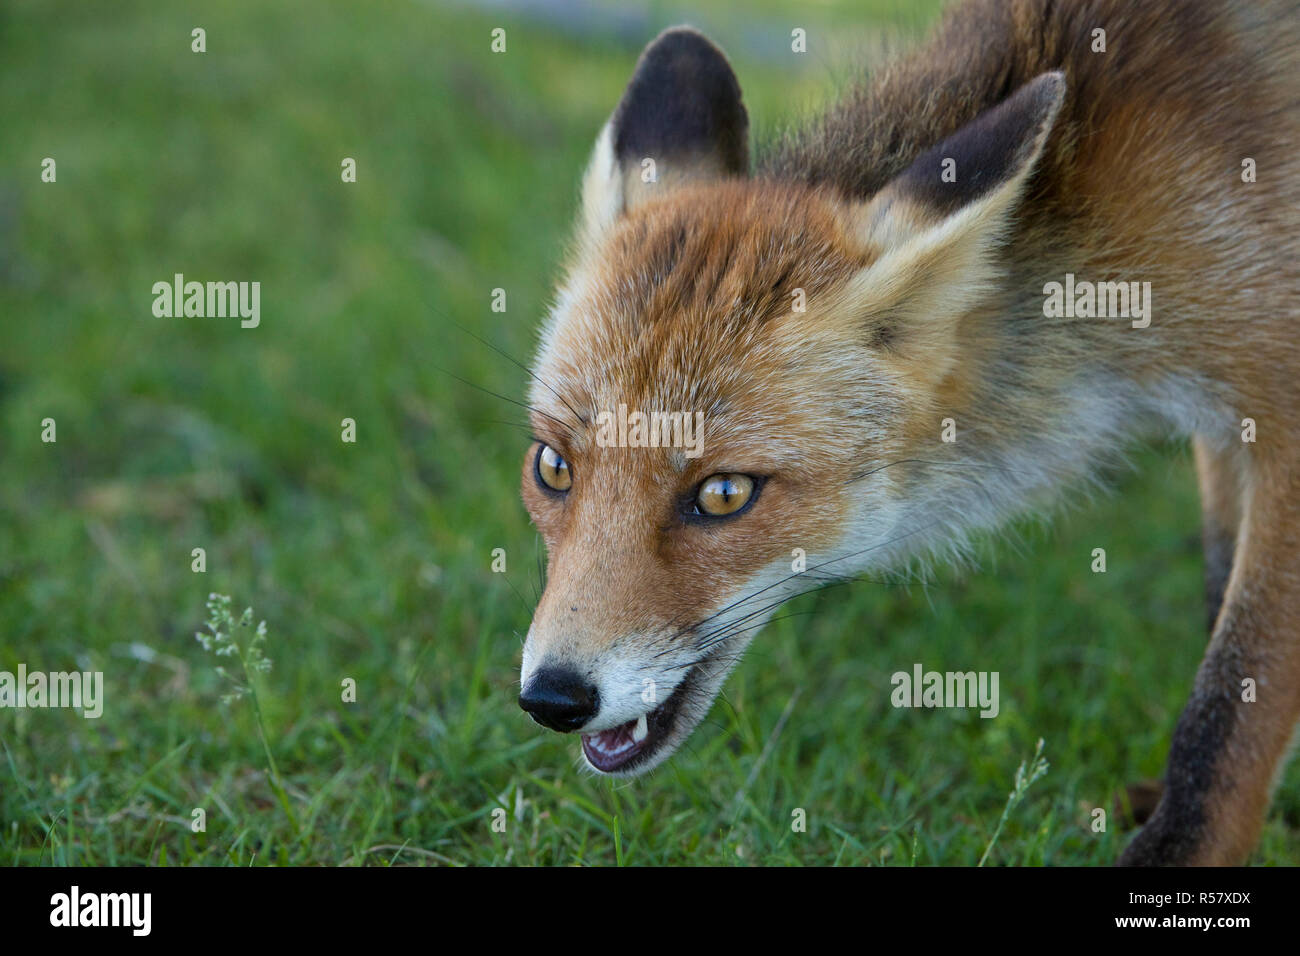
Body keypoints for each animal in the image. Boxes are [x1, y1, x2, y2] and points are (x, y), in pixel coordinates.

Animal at [515, 0, 1300, 865]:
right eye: (553, 467)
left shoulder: (1275, 401)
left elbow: (1232, 696)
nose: (552, 696)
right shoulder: (1224, 420)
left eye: (723, 494)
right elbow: (1219, 606)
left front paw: (1184, 847)